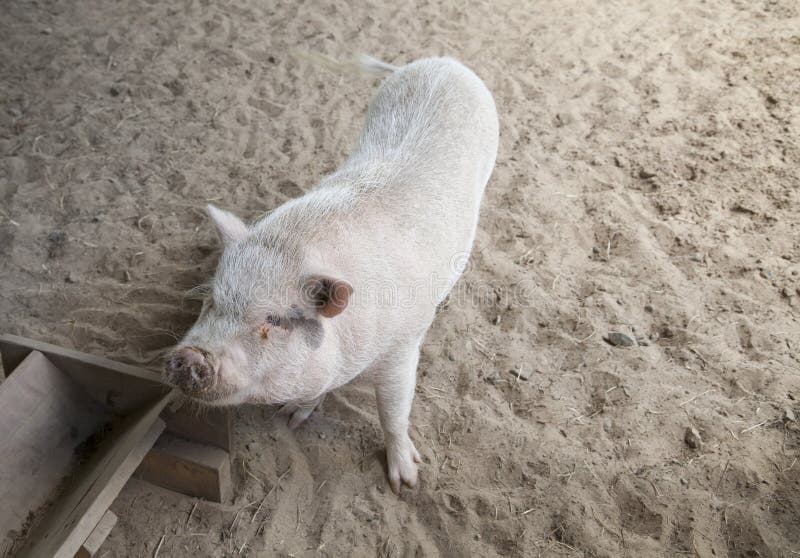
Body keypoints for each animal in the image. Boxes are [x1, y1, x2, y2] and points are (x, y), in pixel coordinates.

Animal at [165, 55, 498, 493]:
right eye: (210, 300)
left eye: (274, 320)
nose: (190, 355)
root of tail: (444, 61)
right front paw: (291, 417)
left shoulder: (402, 345)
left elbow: (394, 408)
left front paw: (406, 482)